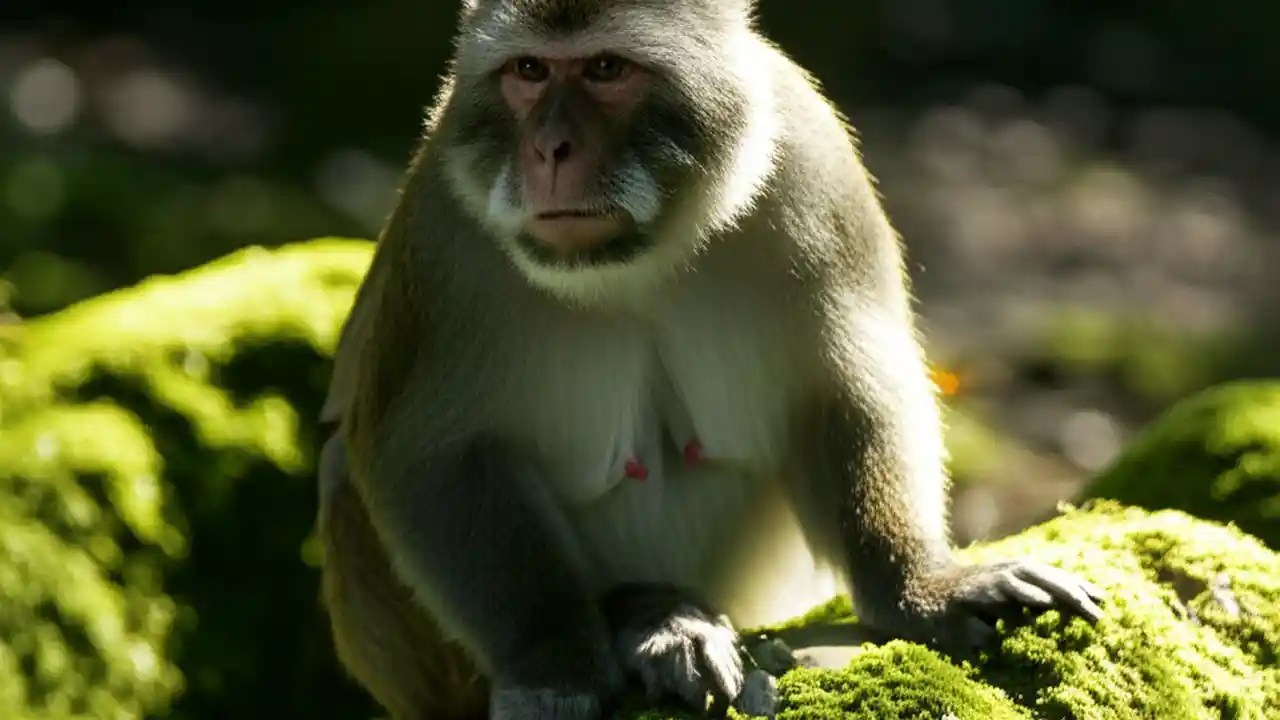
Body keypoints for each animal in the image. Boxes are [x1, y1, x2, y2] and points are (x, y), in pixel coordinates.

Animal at [315, 1, 1106, 718]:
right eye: (528, 71)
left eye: (607, 69)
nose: (549, 149)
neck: (634, 257)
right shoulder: (442, 236)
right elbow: (421, 452)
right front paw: (551, 662)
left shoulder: (812, 162)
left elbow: (849, 387)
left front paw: (917, 588)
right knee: (344, 477)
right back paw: (651, 616)